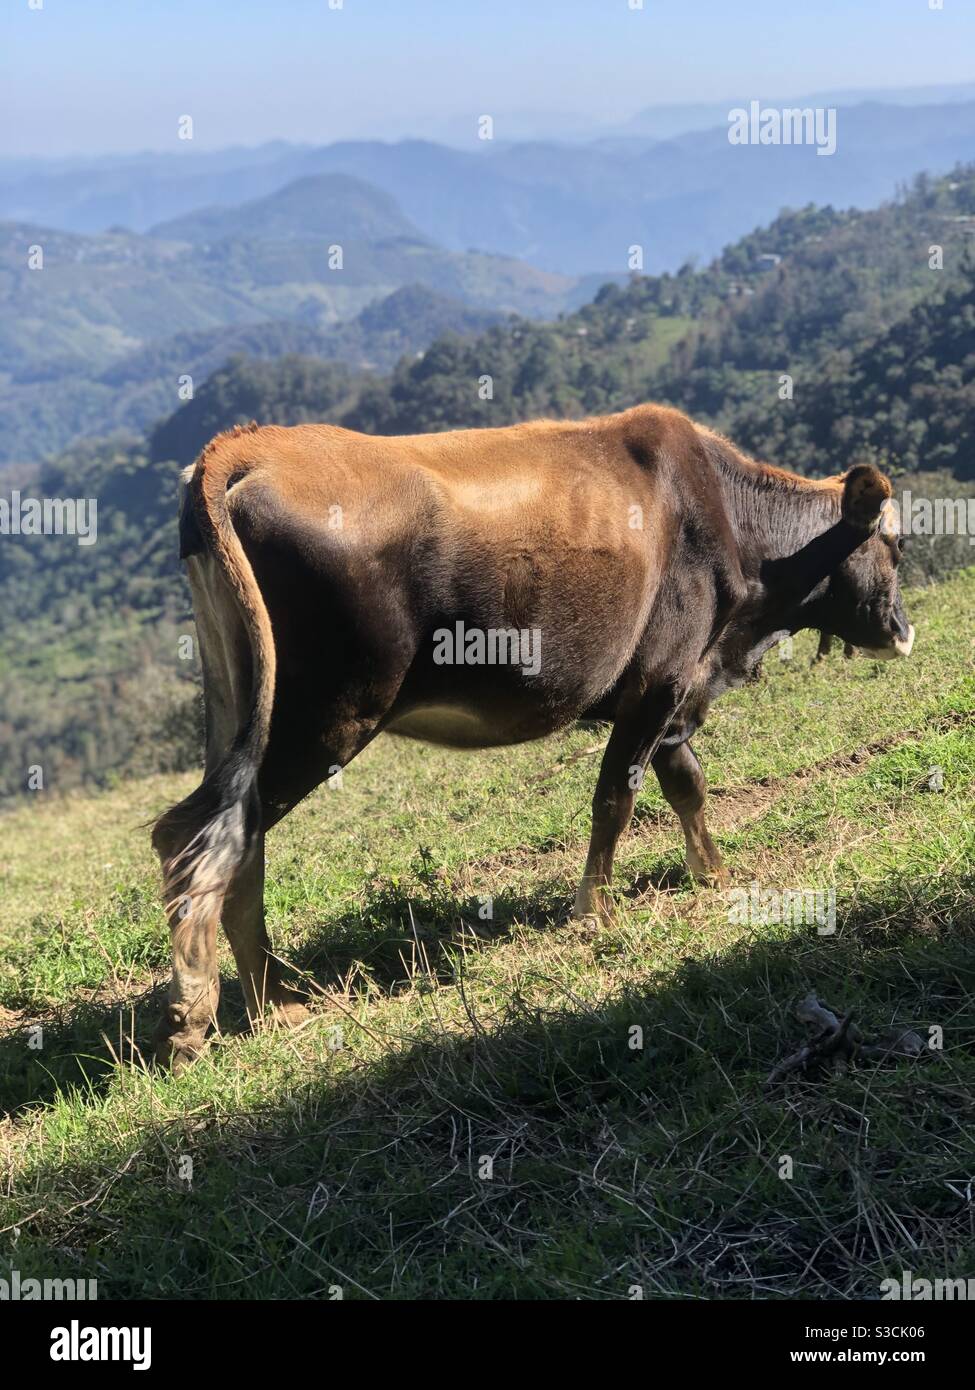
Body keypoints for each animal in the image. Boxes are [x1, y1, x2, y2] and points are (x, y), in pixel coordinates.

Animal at [152, 404, 914, 1068]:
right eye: (896, 545)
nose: (904, 630)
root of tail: (252, 444)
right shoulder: (661, 678)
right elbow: (616, 799)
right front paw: (594, 912)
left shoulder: (673, 693)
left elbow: (687, 786)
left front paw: (714, 874)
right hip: (326, 713)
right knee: (201, 832)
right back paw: (207, 1017)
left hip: (243, 703)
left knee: (231, 835)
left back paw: (269, 1005)